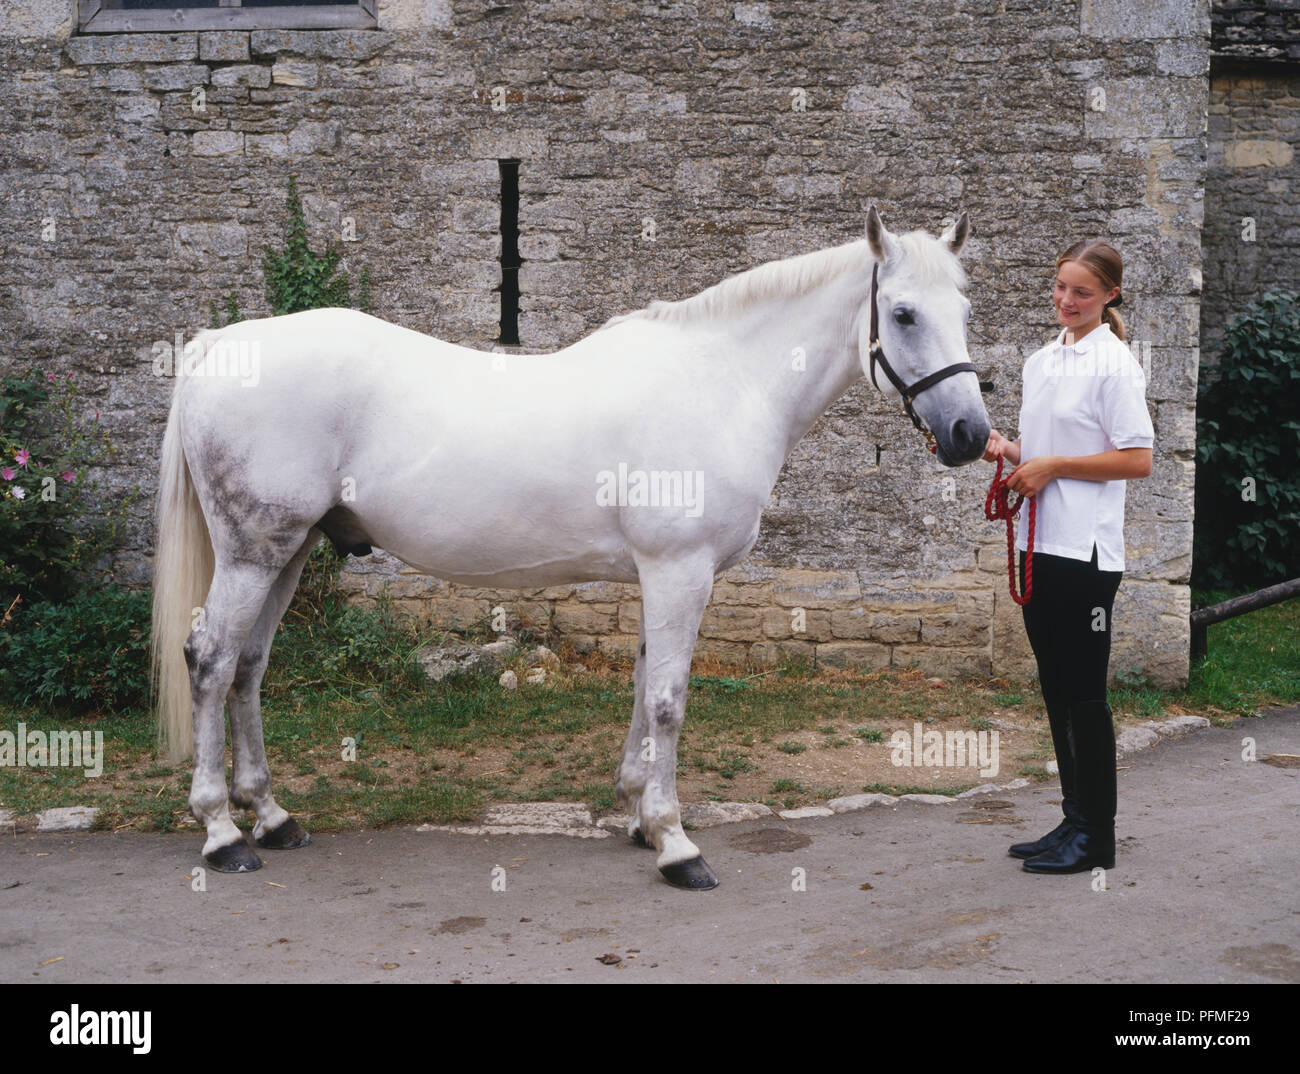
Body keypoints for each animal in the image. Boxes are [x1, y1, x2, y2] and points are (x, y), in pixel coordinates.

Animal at [151, 205, 991, 890]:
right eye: (904, 314)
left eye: (964, 308)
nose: (970, 435)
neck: (720, 383)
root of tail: (219, 347)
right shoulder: (678, 571)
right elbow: (668, 698)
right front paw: (676, 845)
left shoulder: (664, 576)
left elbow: (643, 684)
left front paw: (638, 814)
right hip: (253, 553)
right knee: (212, 661)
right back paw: (222, 832)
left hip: (287, 552)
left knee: (250, 667)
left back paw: (273, 816)